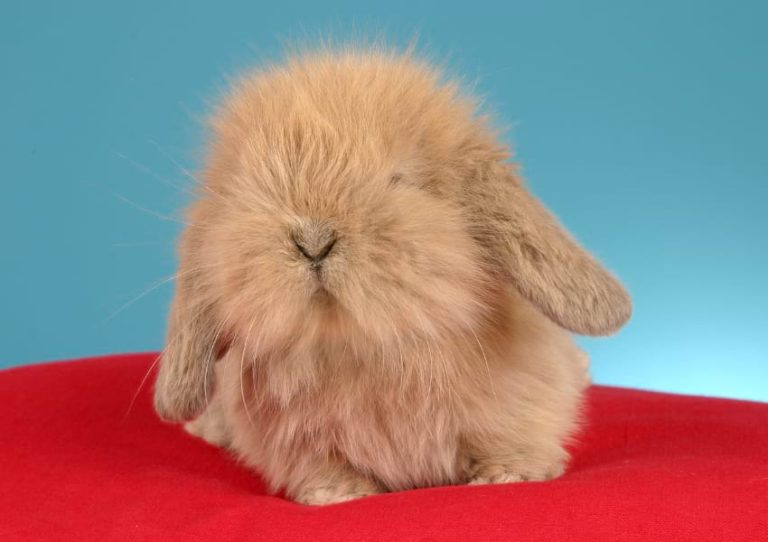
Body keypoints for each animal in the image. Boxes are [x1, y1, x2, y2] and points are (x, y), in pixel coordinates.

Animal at [153, 47, 631, 506]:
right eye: (250, 190)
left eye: (400, 180)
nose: (314, 240)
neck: (363, 351)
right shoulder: (297, 446)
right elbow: (321, 470)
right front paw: (337, 495)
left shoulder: (523, 407)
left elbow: (516, 441)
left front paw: (506, 476)